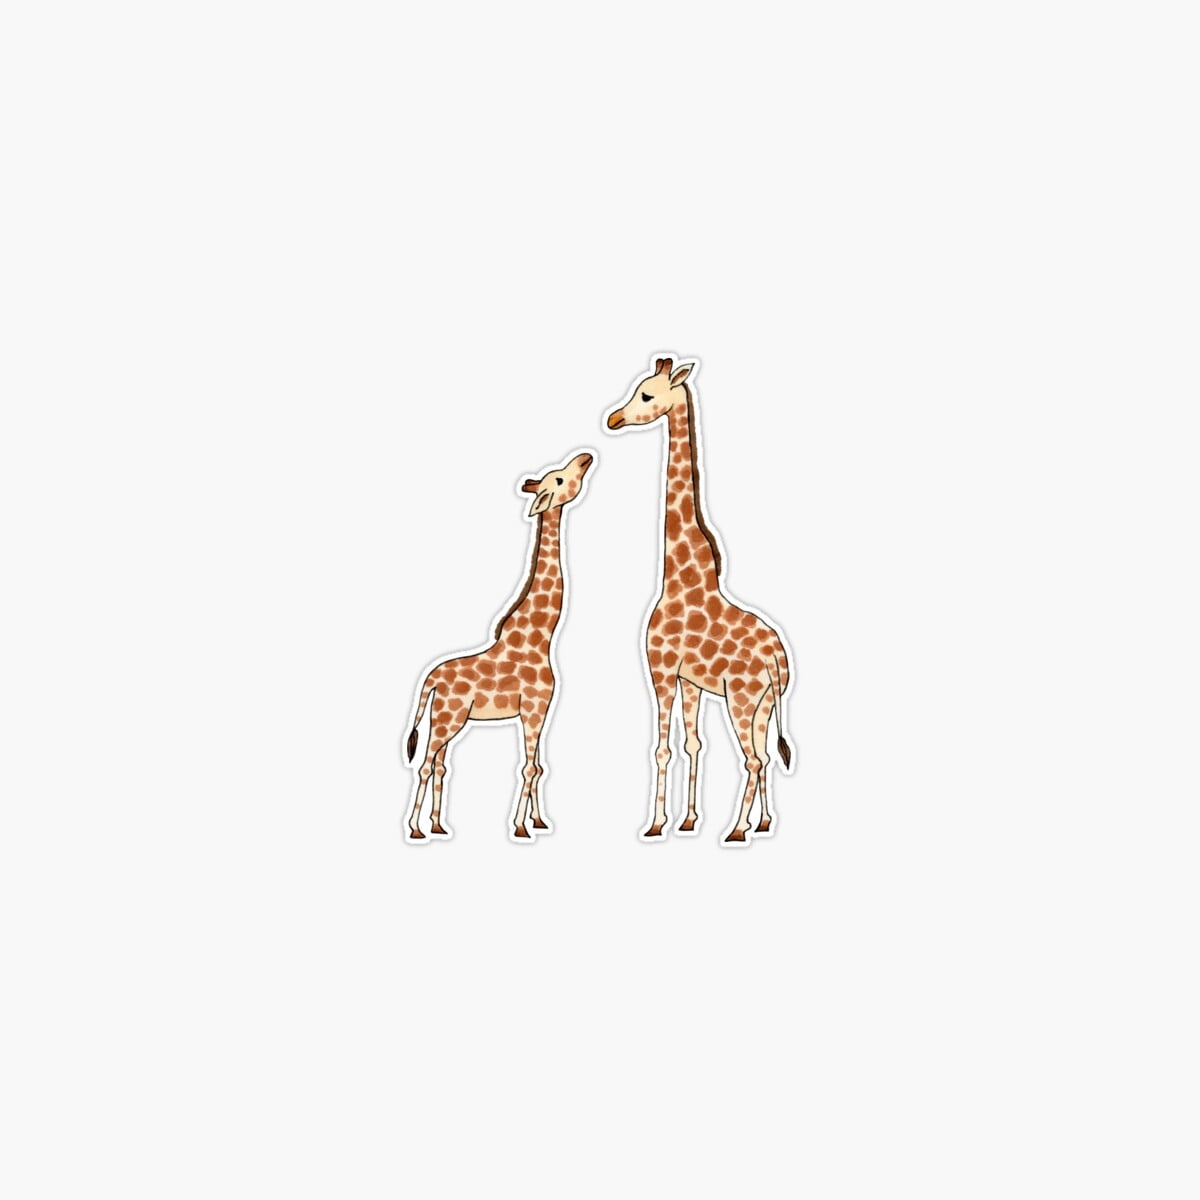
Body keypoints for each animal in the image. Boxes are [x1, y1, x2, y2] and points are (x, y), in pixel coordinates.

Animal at [404, 450, 595, 842]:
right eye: (558, 479)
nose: (585, 457)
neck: (539, 637)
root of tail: (430, 680)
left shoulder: (542, 710)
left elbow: (538, 766)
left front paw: (539, 821)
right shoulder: (533, 709)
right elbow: (528, 767)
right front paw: (521, 827)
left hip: (447, 718)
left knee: (441, 763)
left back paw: (438, 825)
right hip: (448, 718)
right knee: (426, 764)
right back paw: (416, 829)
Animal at [605, 356, 793, 844]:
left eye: (646, 394)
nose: (613, 419)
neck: (680, 577)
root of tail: (778, 659)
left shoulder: (661, 670)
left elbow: (662, 747)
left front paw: (655, 824)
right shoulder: (690, 681)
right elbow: (693, 744)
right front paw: (687, 820)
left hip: (742, 698)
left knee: (753, 758)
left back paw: (737, 830)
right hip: (764, 703)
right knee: (767, 756)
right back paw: (763, 823)